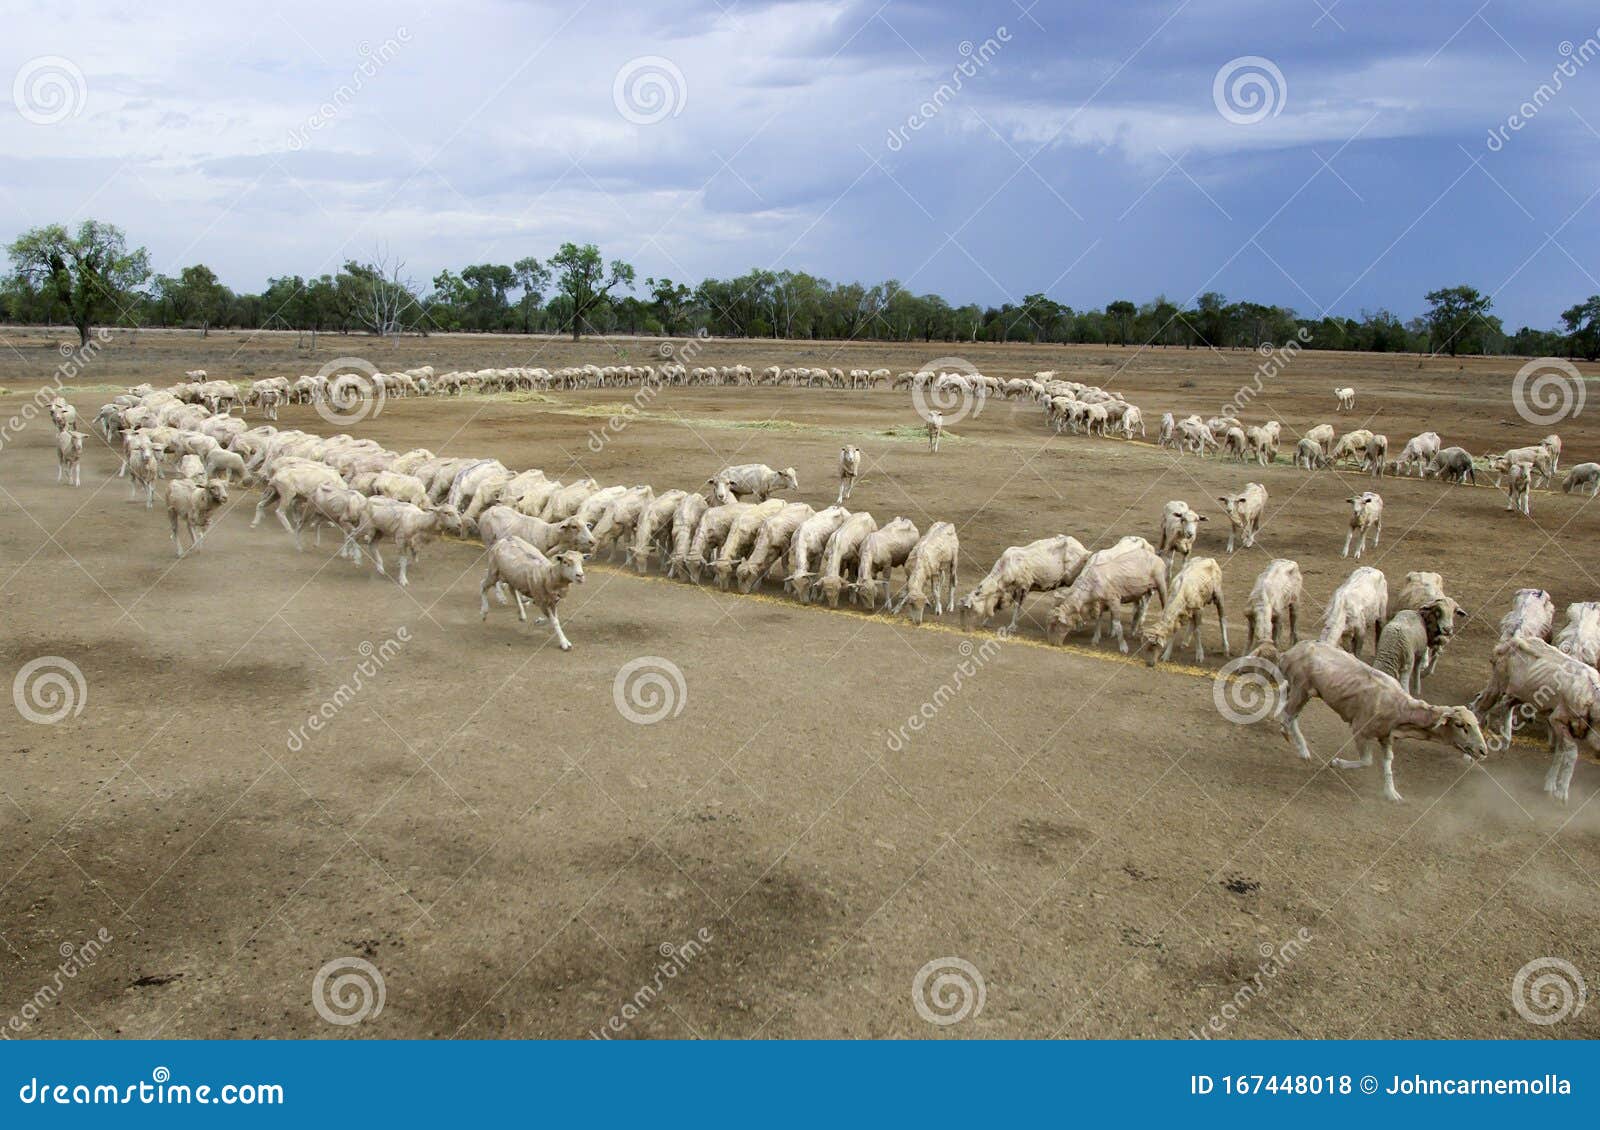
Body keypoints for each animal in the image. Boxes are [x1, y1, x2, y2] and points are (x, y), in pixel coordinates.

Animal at [958, 534, 1090, 630]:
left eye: (968, 610)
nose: (965, 628)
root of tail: (1084, 550)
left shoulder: (1023, 587)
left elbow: (1017, 606)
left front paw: (1012, 627)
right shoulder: (1007, 591)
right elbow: (998, 606)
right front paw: (986, 622)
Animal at [1261, 639, 1487, 802]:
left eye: (1476, 724)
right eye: (1461, 725)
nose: (1483, 750)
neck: (1401, 709)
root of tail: (1290, 652)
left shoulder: (1386, 737)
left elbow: (1387, 764)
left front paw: (1391, 793)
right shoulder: (1360, 730)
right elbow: (1367, 760)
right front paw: (1337, 763)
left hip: (1304, 690)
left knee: (1287, 702)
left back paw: (1296, 741)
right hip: (1302, 688)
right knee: (1289, 715)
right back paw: (1292, 738)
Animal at [1472, 636, 1600, 802]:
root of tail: (1510, 642)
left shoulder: (1562, 727)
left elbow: (1559, 753)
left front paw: (1550, 785)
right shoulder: (1557, 720)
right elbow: (1571, 753)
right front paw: (1561, 793)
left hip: (1522, 694)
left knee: (1506, 705)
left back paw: (1505, 743)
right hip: (1497, 683)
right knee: (1479, 708)